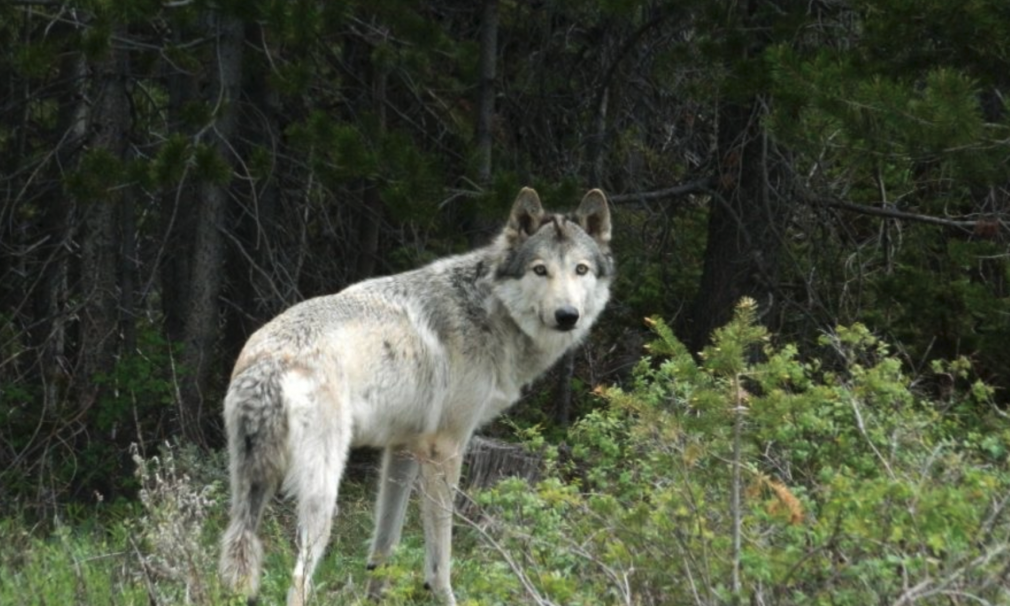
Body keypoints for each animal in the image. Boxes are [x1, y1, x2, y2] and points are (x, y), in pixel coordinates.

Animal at [218, 187, 613, 605]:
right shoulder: (445, 449)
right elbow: (439, 561)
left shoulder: (404, 448)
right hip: (323, 493)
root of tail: (270, 361)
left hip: (247, 490)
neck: (489, 310)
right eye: (540, 270)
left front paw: (375, 597)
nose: (567, 315)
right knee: (298, 581)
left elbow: (384, 546)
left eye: (581, 270)